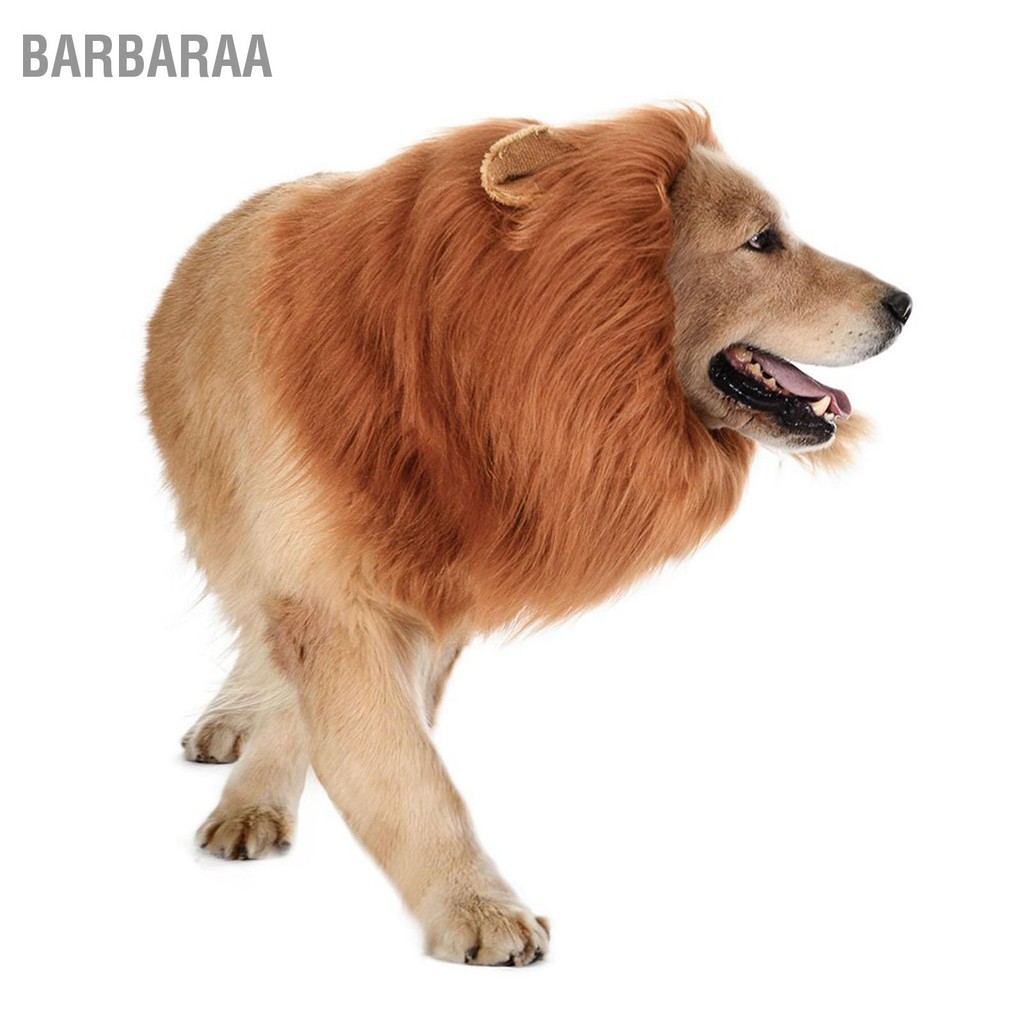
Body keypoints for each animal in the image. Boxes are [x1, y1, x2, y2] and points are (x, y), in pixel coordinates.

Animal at [143, 105, 911, 966]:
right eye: (762, 240)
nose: (904, 302)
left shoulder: (421, 594)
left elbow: (355, 735)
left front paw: (264, 800)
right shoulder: (329, 588)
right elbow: (409, 774)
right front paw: (478, 910)